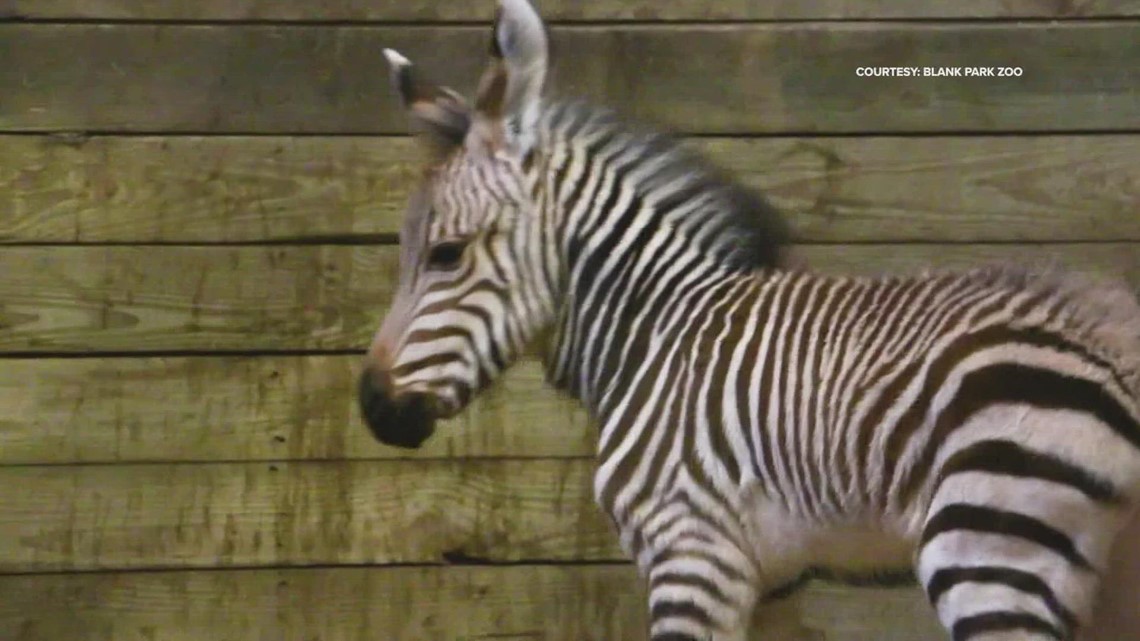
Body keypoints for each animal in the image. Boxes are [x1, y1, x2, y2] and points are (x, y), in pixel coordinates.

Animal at [357, 0, 1140, 639]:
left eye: (448, 253)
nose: (372, 409)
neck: (657, 332)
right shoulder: (768, 581)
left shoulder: (691, 553)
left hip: (989, 552)